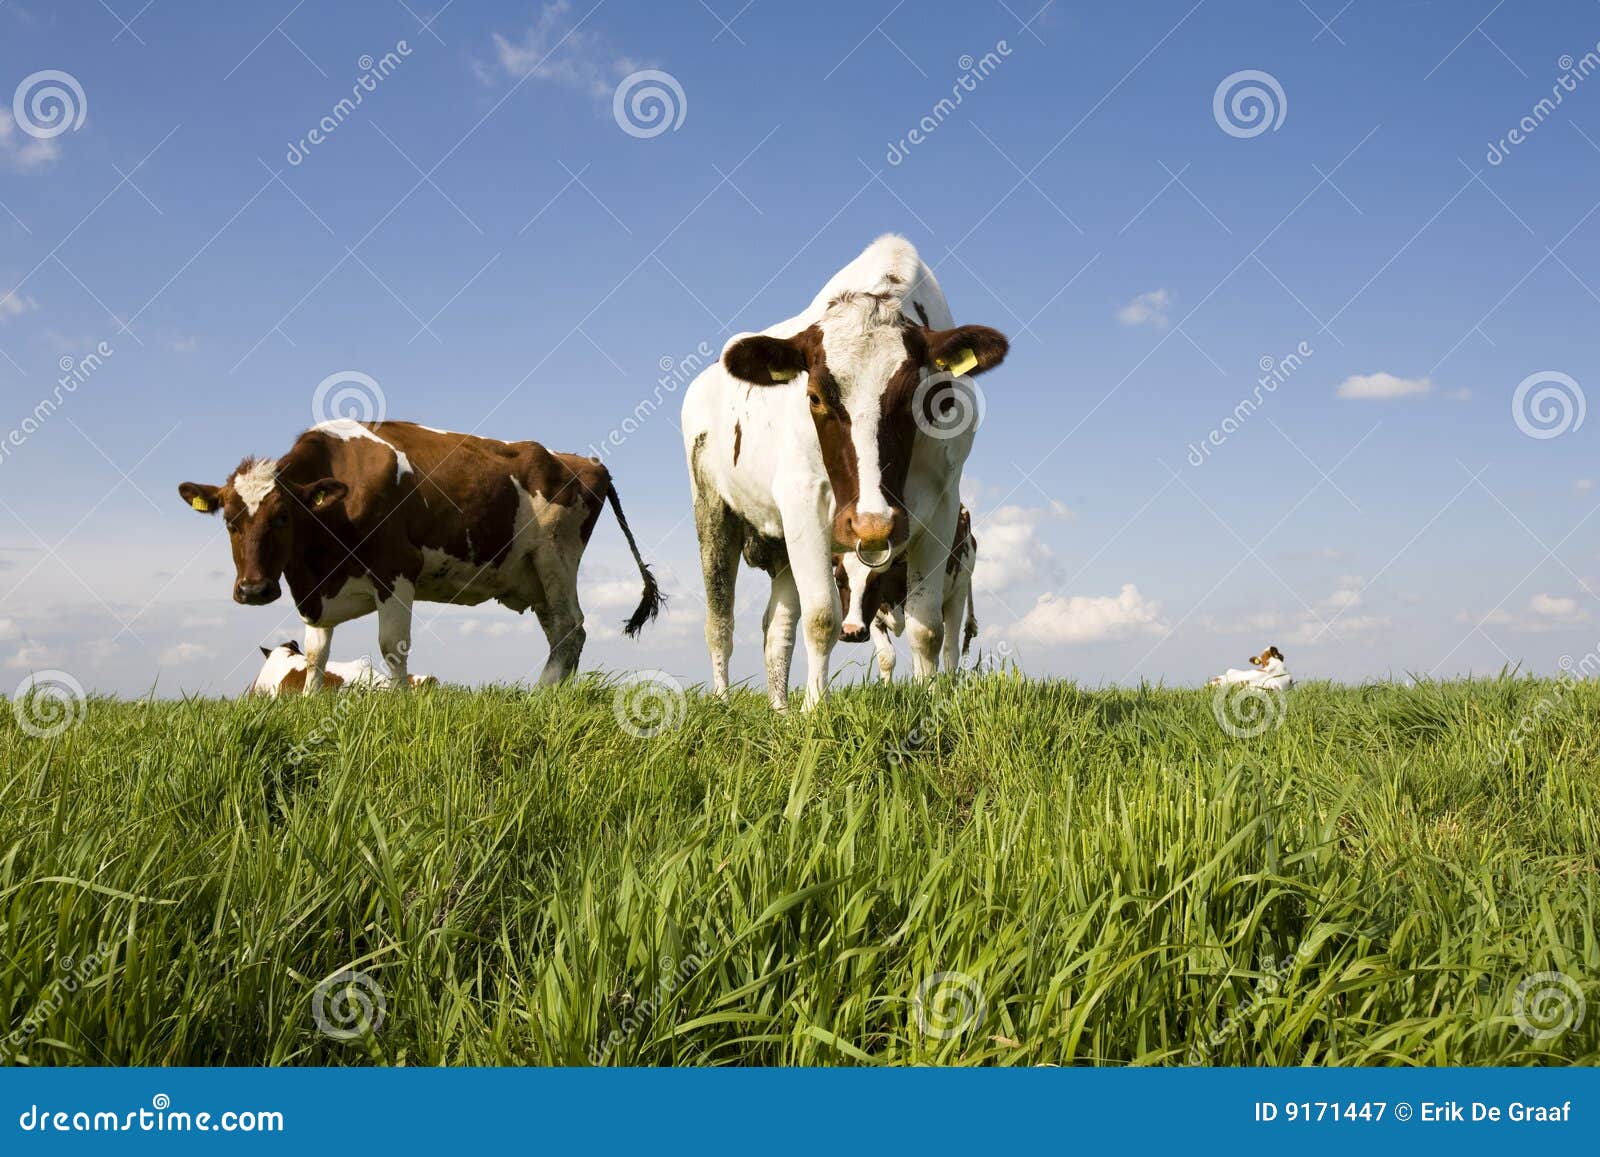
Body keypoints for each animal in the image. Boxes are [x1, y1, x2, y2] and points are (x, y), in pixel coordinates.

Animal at [179, 419, 660, 692]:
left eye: (283, 517)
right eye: (230, 521)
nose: (254, 590)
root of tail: (586, 461)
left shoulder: (396, 570)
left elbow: (392, 647)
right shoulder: (317, 592)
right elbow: (316, 656)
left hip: (556, 557)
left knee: (569, 629)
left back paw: (541, 700)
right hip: (533, 575)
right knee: (559, 634)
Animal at [835, 505, 978, 681]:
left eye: (875, 582)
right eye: (838, 580)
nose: (851, 632)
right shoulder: (873, 616)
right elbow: (886, 657)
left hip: (959, 592)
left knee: (950, 650)